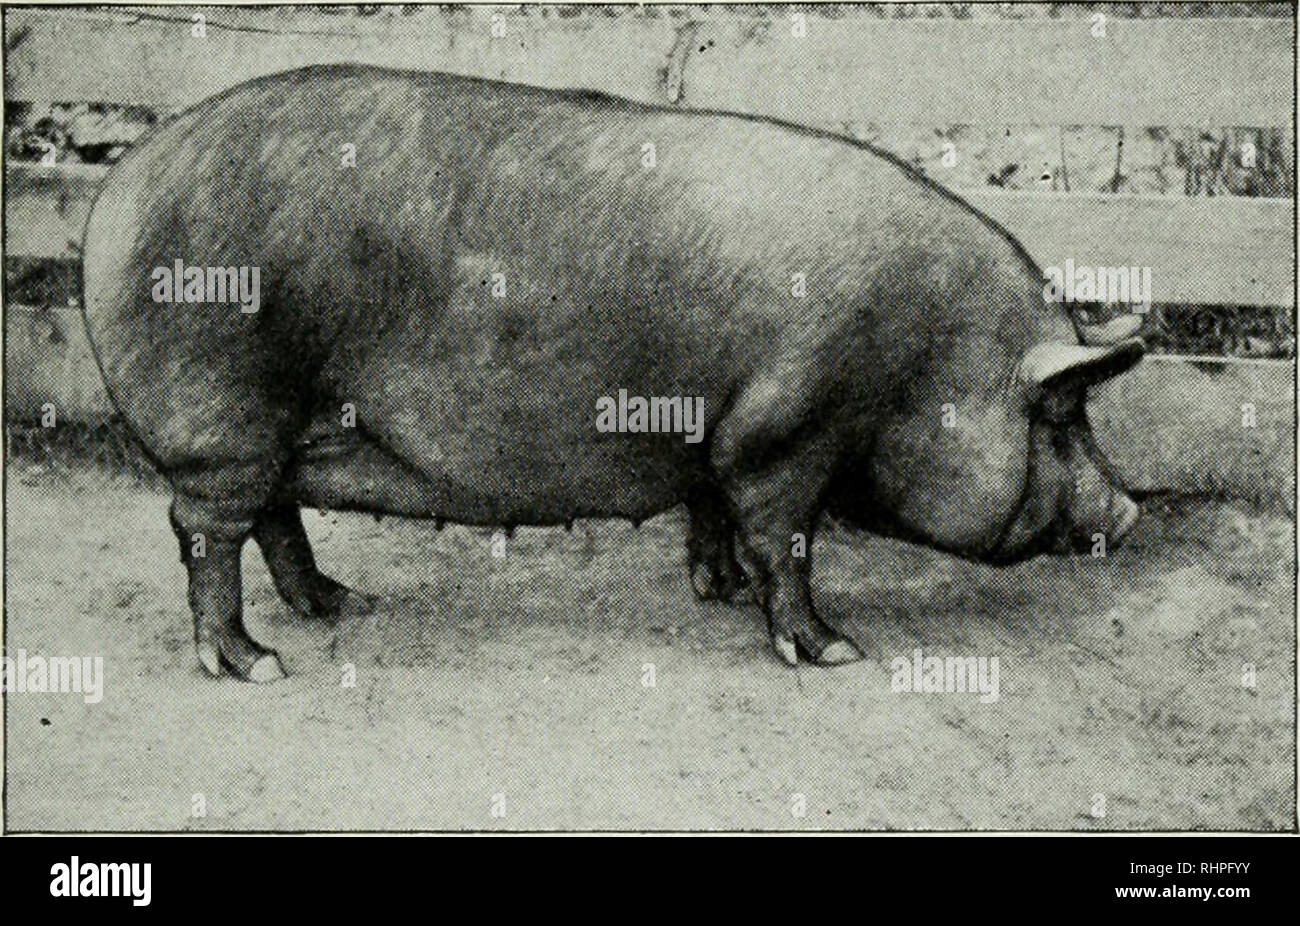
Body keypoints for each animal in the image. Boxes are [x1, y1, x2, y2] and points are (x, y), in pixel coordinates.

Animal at [80, 65, 1144, 681]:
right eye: (1060, 413)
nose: (1131, 510)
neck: (922, 356)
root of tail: (119, 184)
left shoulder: (717, 432)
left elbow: (713, 513)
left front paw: (718, 592)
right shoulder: (782, 436)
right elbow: (786, 542)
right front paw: (834, 652)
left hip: (273, 430)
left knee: (272, 518)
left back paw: (342, 605)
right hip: (219, 417)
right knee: (205, 530)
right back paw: (253, 663)